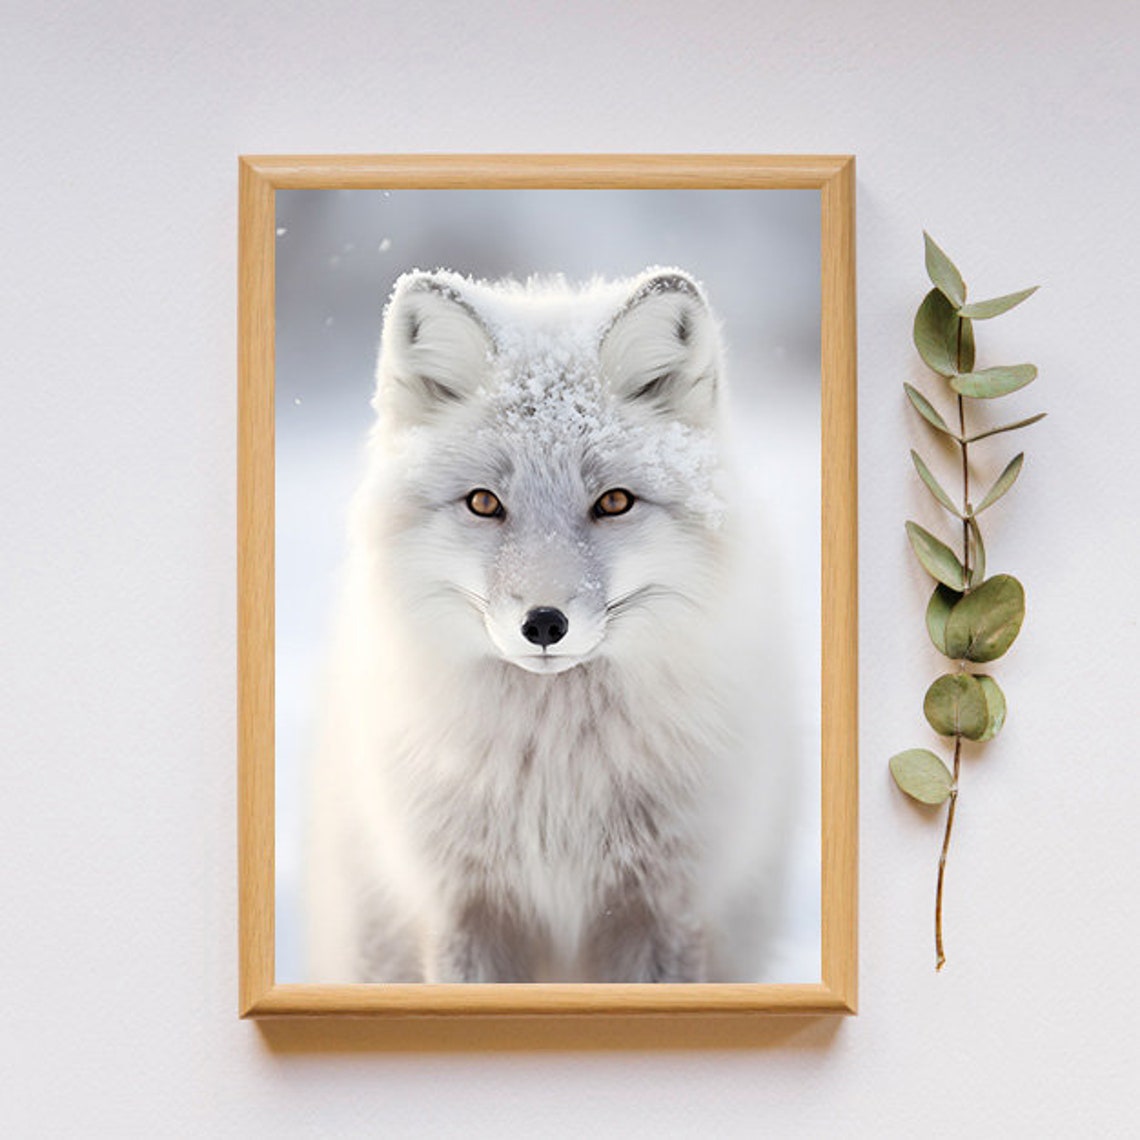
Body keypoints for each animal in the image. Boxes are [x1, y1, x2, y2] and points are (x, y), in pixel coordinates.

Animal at [306, 267, 796, 984]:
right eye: (485, 503)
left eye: (613, 502)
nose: (543, 624)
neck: (554, 782)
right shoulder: (464, 906)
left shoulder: (662, 906)